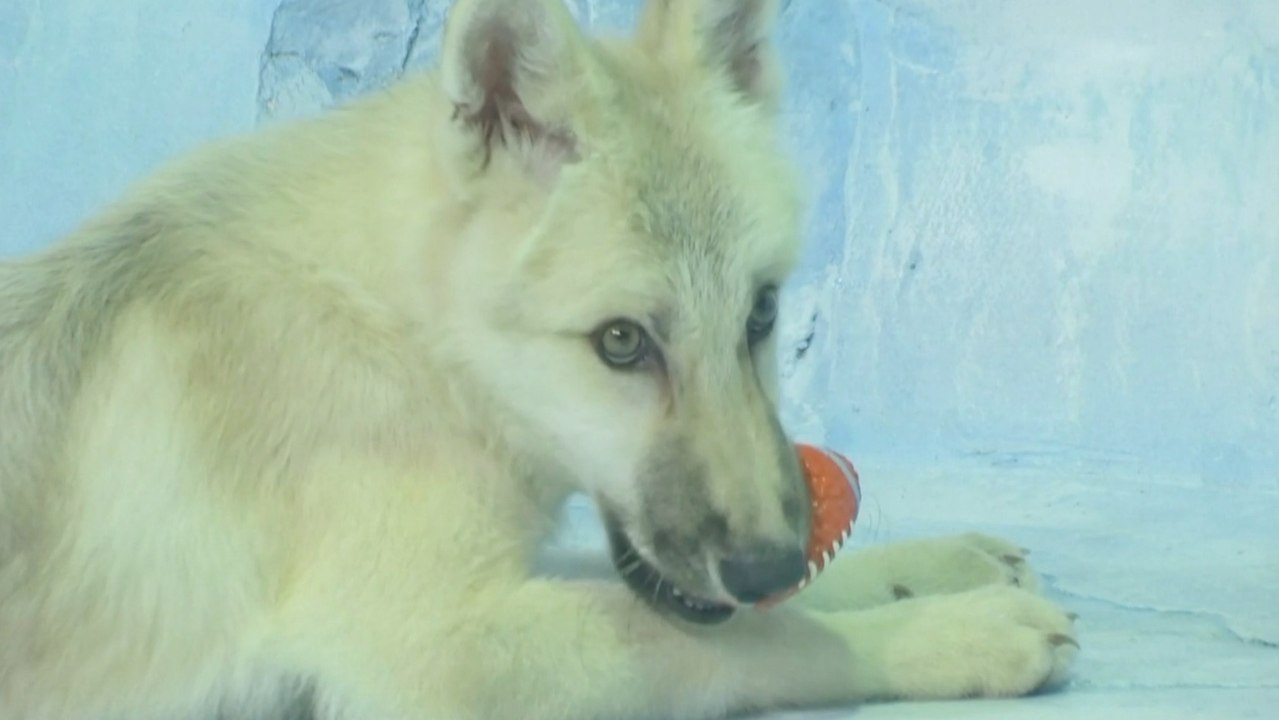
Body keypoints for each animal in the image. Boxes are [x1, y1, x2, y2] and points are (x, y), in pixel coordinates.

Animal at [0, 0, 1078, 717]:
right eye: (620, 342)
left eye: (762, 313)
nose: (767, 562)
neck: (402, 327)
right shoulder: (436, 643)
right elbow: (749, 636)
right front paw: (949, 632)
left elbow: (699, 597)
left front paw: (921, 568)